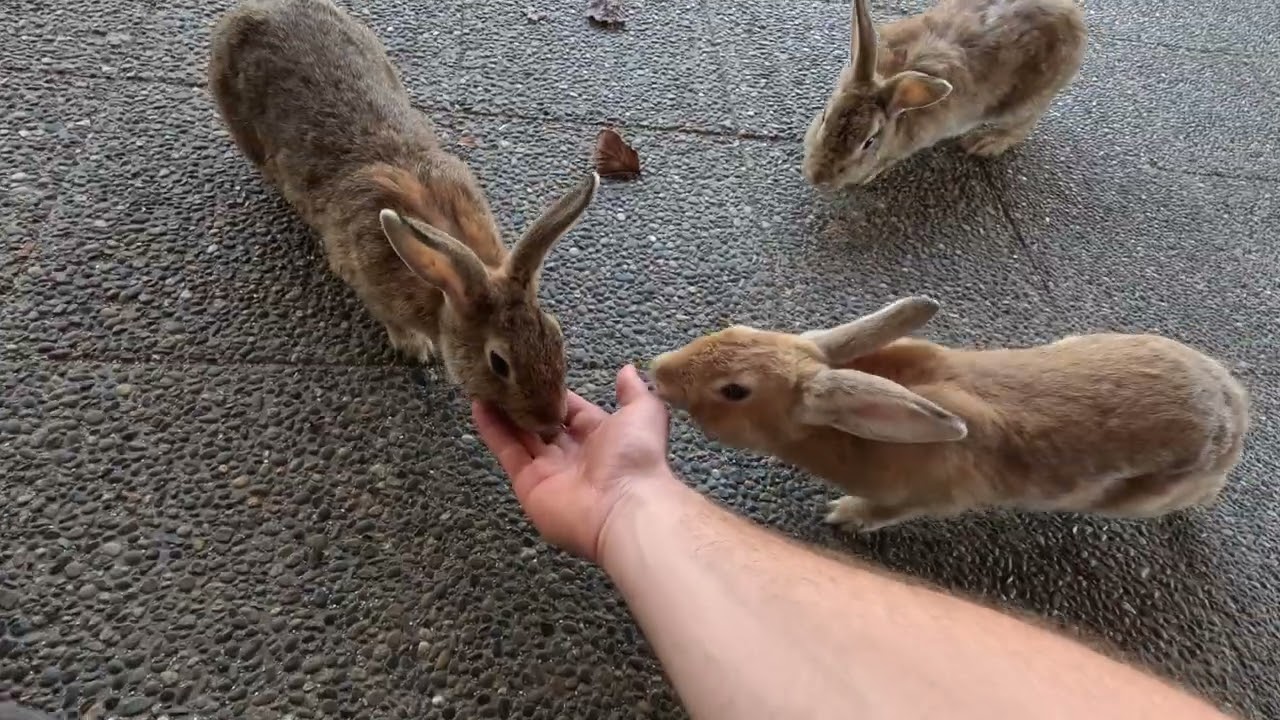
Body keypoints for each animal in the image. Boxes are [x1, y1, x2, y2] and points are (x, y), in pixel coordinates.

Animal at [208, 0, 599, 440]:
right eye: (499, 363)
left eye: (554, 334)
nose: (551, 424)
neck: (444, 289)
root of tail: (255, 10)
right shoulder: (370, 284)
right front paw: (415, 348)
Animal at [648, 296, 1251, 532]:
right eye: (735, 329)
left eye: (734, 391)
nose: (658, 372)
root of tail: (1235, 411)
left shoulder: (924, 498)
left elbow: (886, 511)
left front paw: (844, 516)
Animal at [802, 0, 1087, 188]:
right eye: (825, 116)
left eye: (870, 141)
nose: (818, 177)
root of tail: (1075, 19)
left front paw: (869, 175)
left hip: (1022, 102)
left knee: (1023, 124)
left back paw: (986, 142)